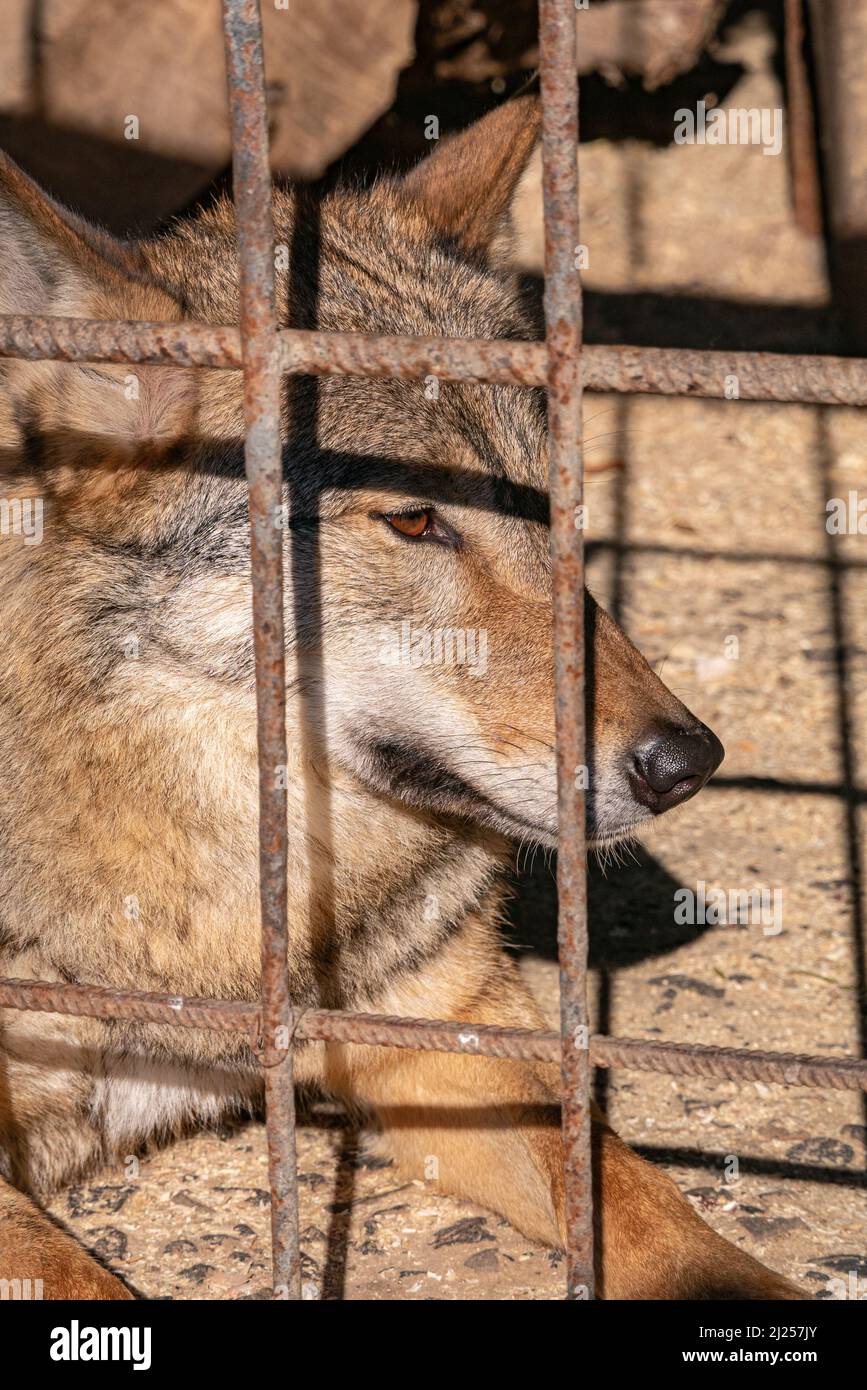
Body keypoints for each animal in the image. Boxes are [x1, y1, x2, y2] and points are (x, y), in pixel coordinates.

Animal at [0, 96, 804, 1299]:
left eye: (559, 508)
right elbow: (82, 1280)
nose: (686, 762)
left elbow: (652, 1211)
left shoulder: (454, 1035)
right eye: (416, 520)